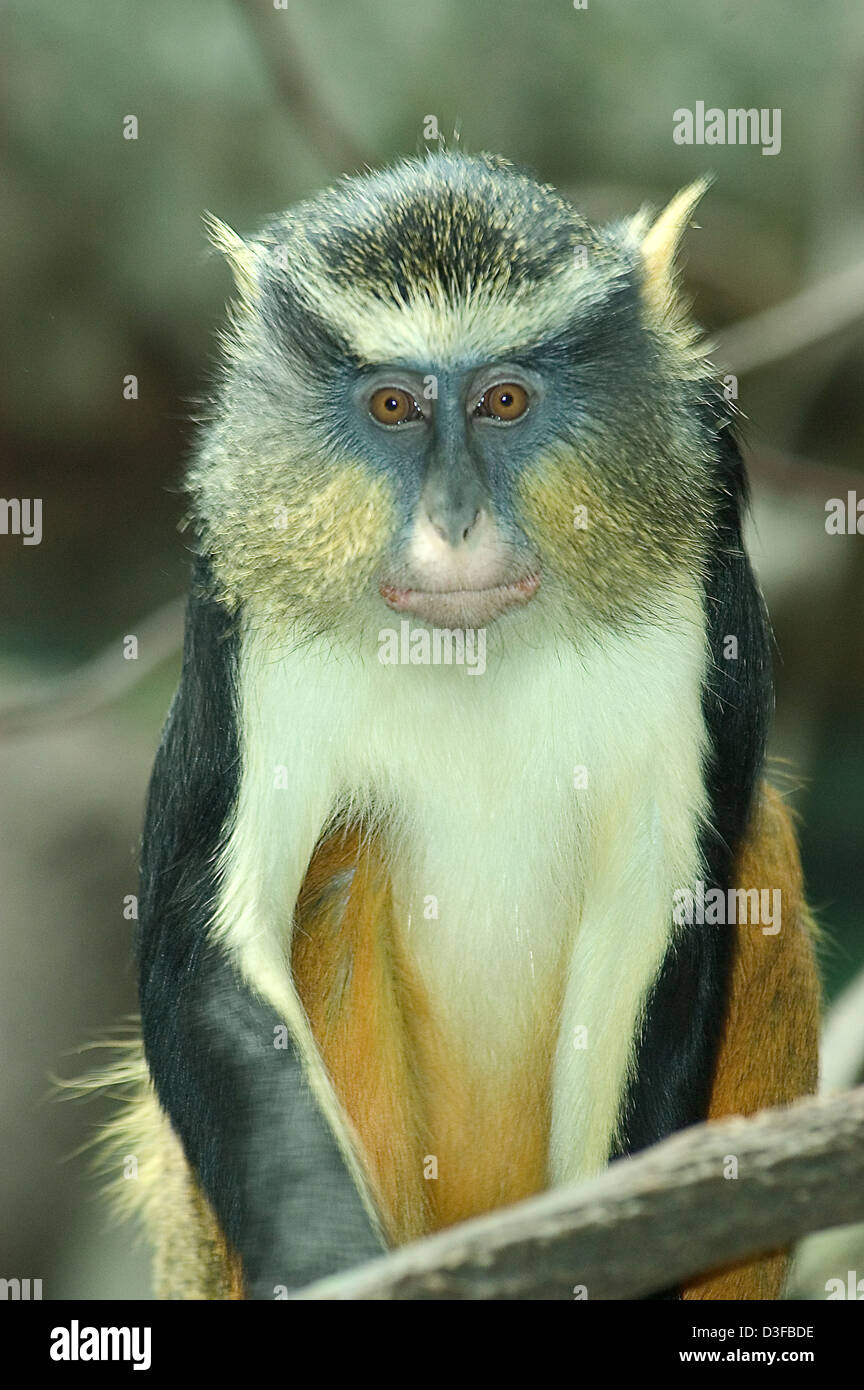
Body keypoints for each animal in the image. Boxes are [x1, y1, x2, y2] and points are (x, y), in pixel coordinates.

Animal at [98, 151, 820, 1300]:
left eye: (504, 400)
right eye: (394, 403)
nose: (455, 520)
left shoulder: (706, 563)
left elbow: (667, 910)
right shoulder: (237, 598)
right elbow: (206, 944)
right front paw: (331, 1264)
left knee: (766, 842)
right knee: (340, 861)